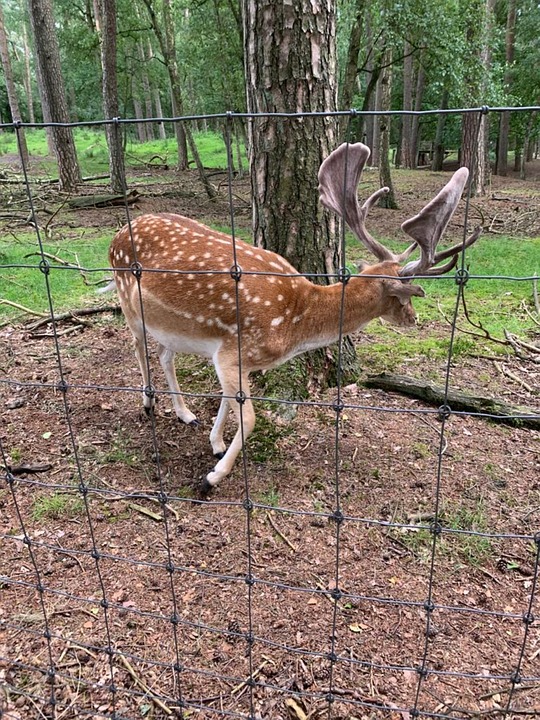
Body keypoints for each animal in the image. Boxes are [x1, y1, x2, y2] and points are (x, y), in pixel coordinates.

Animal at [108, 142, 480, 494]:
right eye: (403, 296)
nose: (413, 319)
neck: (294, 322)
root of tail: (117, 234)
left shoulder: (229, 357)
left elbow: (228, 402)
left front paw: (215, 444)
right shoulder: (234, 351)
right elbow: (250, 418)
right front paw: (213, 476)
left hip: (172, 326)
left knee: (163, 353)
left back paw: (185, 414)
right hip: (127, 300)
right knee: (138, 346)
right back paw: (148, 403)